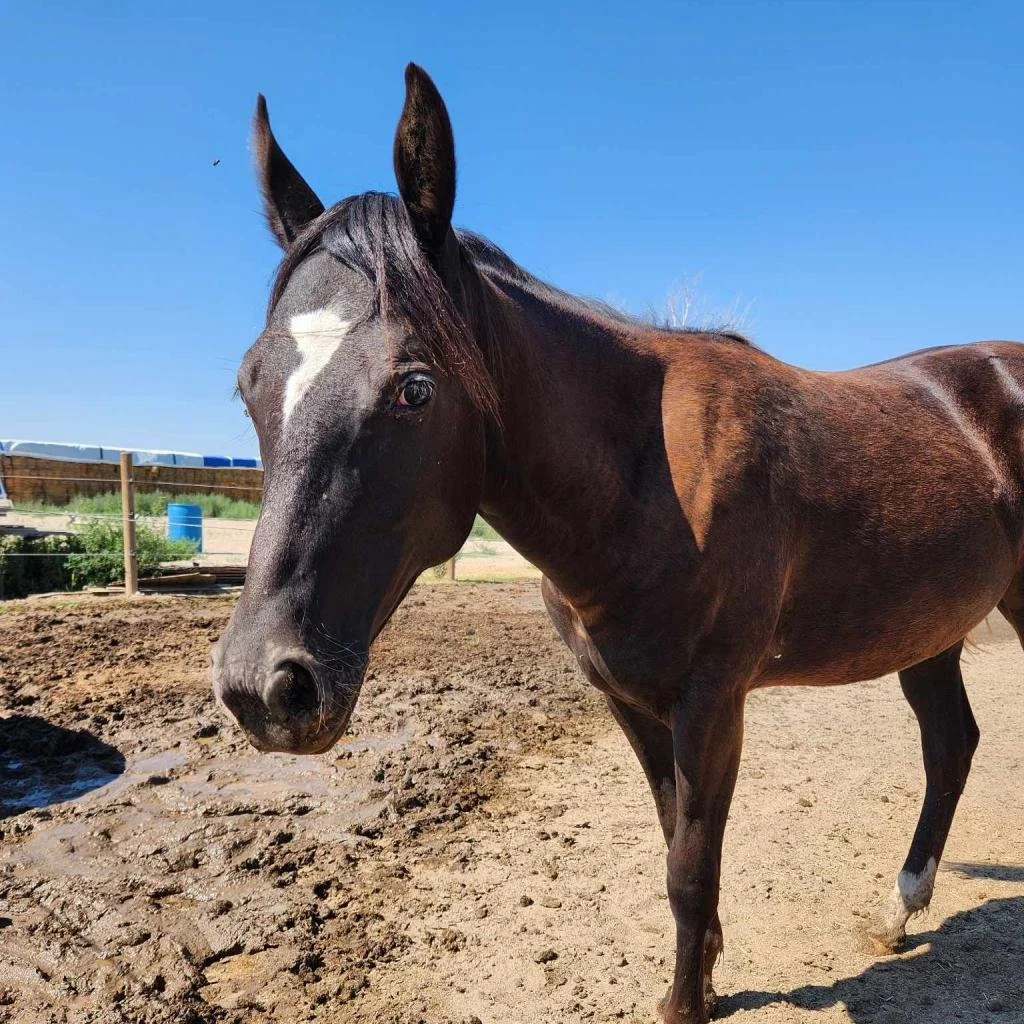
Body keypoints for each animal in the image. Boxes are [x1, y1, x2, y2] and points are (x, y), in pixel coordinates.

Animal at [211, 64, 1024, 1024]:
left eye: (413, 387)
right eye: (249, 384)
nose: (264, 688)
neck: (646, 484)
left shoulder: (713, 701)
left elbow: (691, 868)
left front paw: (687, 1000)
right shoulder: (630, 703)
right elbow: (678, 847)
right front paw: (704, 971)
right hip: (928, 631)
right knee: (950, 746)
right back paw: (899, 910)